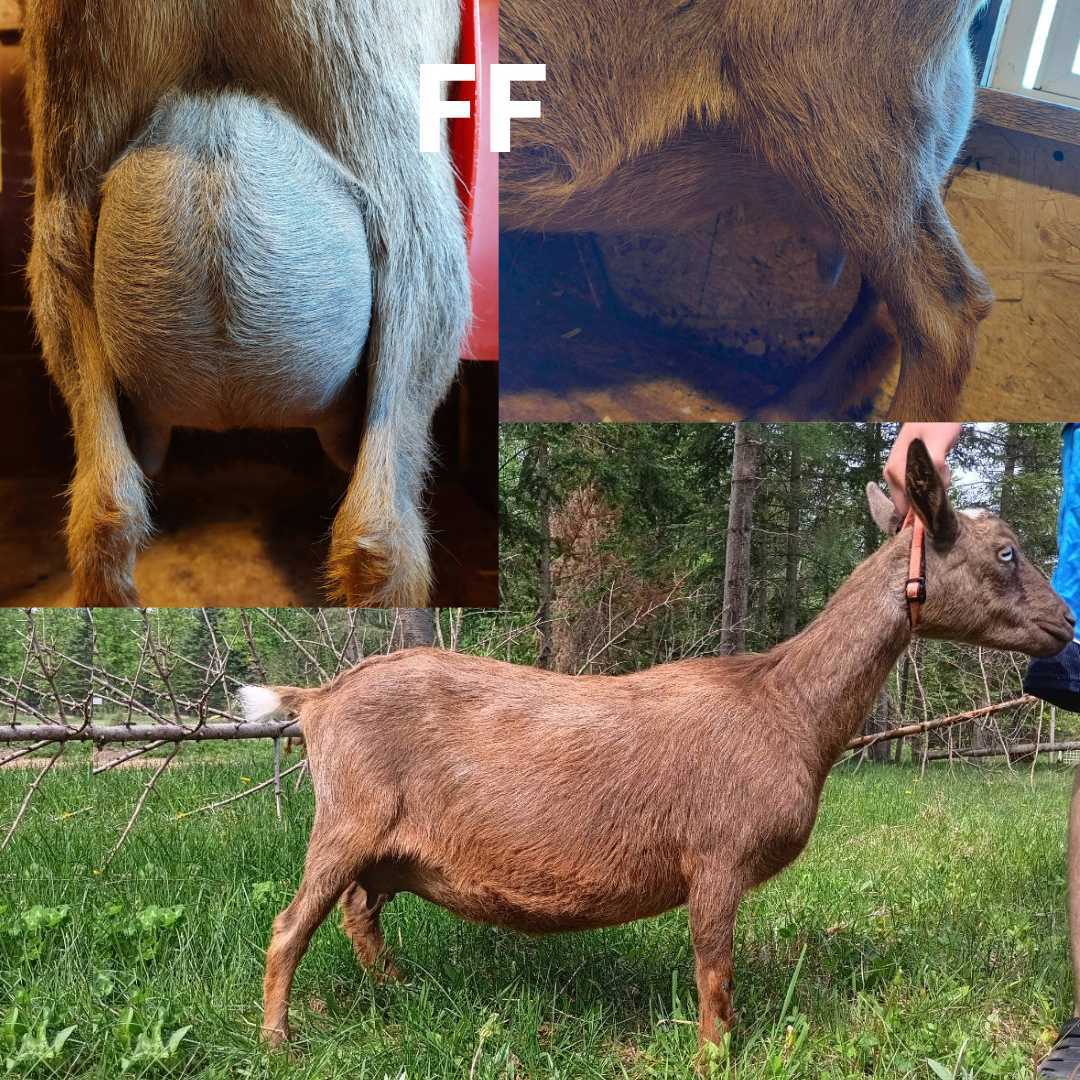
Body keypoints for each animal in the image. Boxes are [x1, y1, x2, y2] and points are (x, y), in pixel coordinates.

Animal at [241, 439, 1075, 1049]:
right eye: (1005, 551)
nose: (1065, 623)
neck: (786, 705)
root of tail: (320, 699)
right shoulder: (715, 858)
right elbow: (714, 973)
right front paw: (716, 1054)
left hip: (390, 848)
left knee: (360, 913)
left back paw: (397, 993)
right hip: (345, 822)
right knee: (289, 928)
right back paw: (279, 1041)